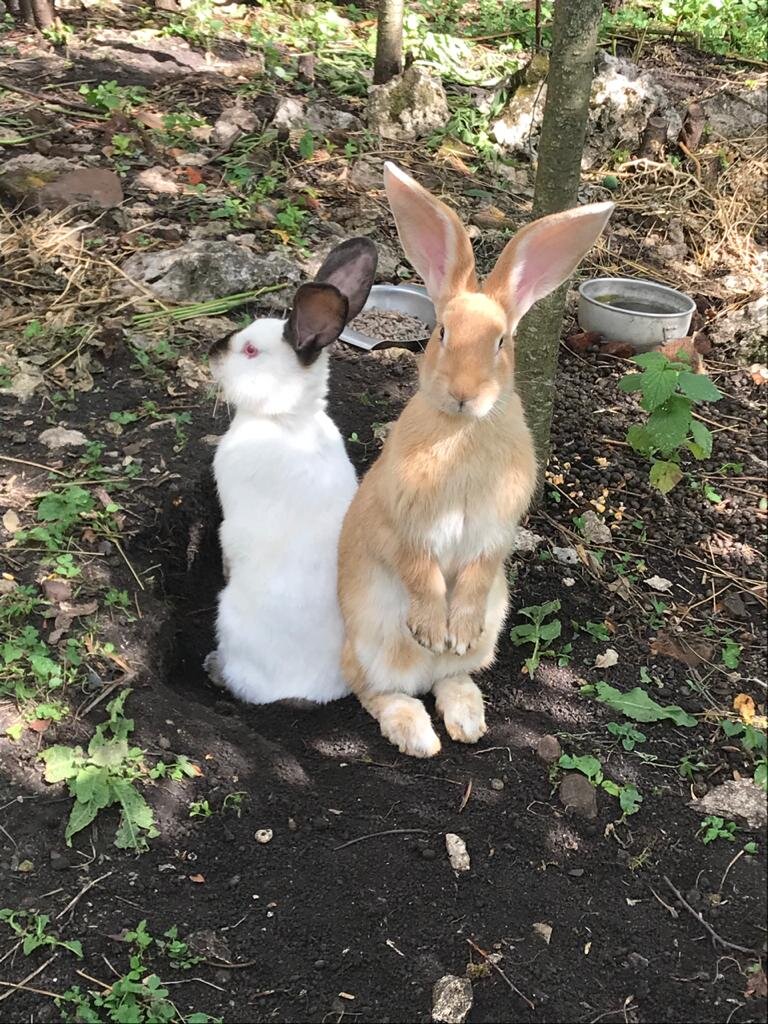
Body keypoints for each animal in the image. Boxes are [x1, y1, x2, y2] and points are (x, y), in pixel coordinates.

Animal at [335, 163, 614, 757]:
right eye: (441, 332)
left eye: (501, 342)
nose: (464, 395)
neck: (462, 431)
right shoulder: (405, 526)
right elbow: (420, 573)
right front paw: (430, 628)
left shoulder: (494, 533)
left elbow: (476, 572)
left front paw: (453, 633)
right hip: (369, 644)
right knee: (379, 692)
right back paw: (419, 736)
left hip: (494, 620)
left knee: (452, 676)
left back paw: (465, 719)